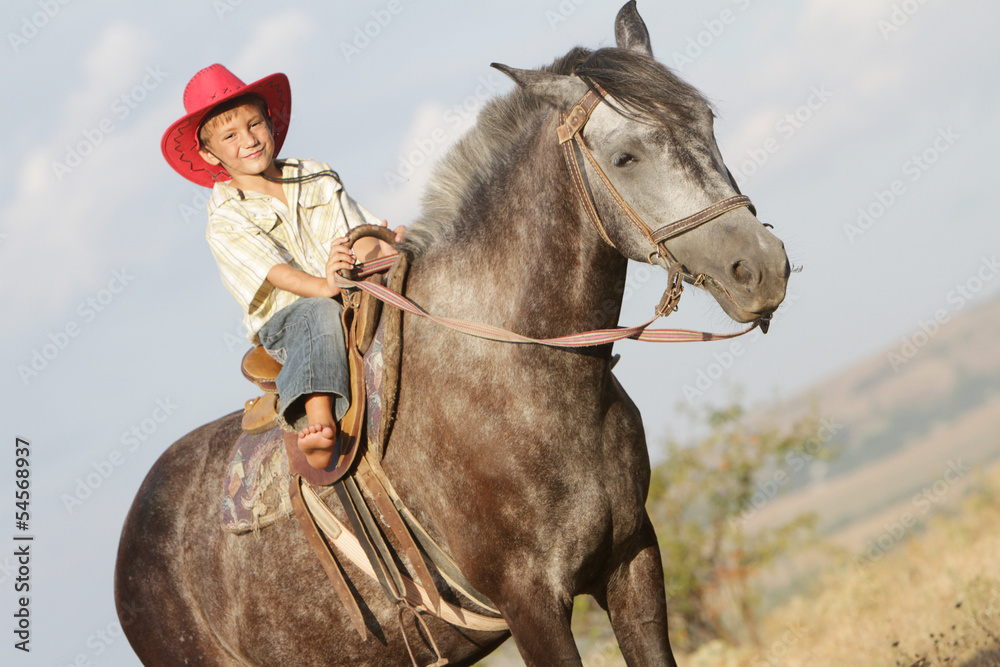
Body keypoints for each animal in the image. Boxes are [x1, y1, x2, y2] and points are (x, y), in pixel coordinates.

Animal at [115, 3, 789, 665]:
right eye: (625, 157)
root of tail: (131, 536)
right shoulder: (530, 602)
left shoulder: (633, 564)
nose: (761, 268)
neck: (515, 377)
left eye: (706, 121)